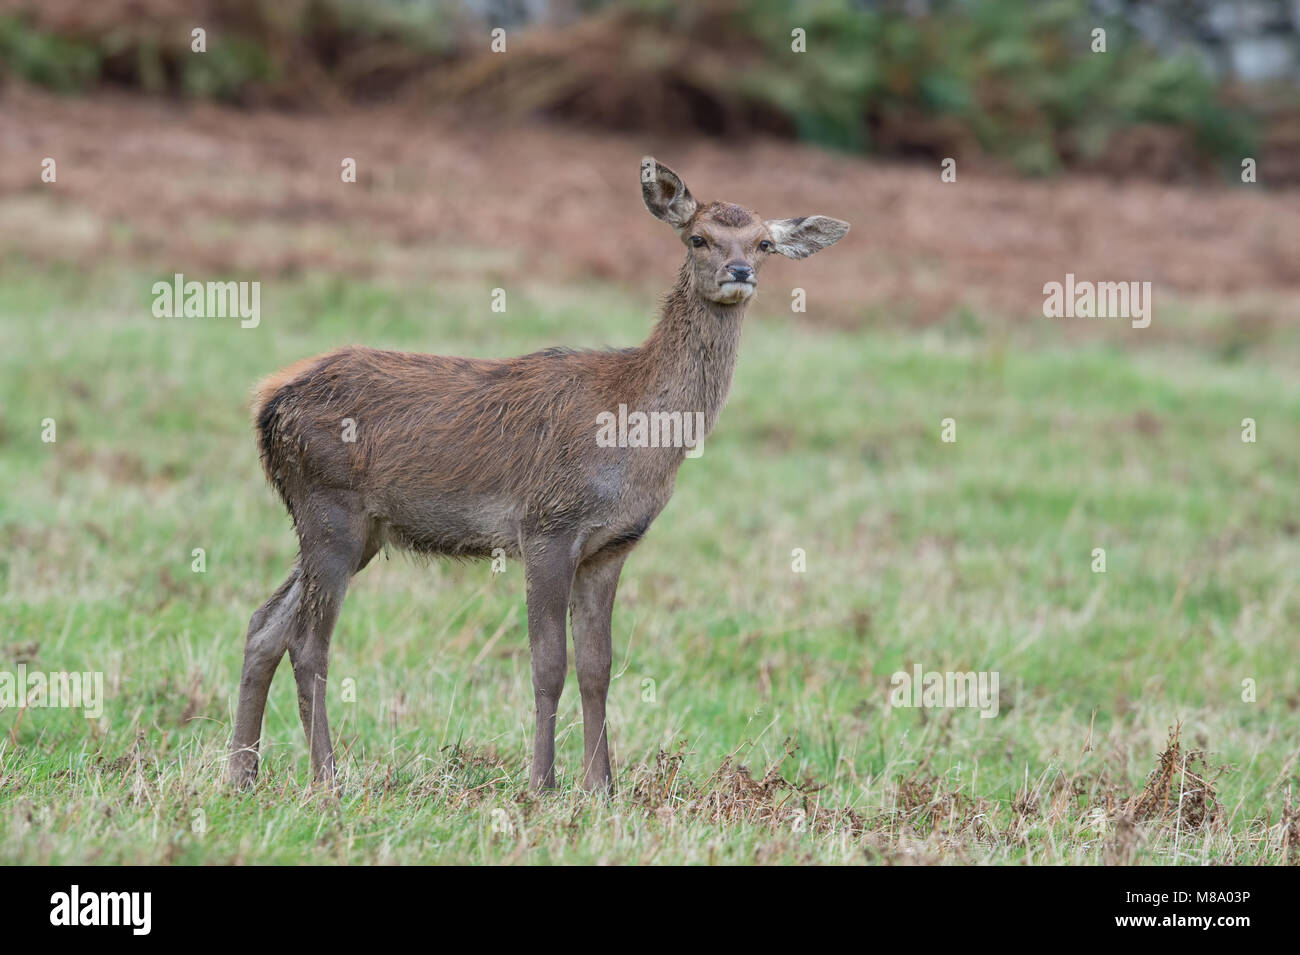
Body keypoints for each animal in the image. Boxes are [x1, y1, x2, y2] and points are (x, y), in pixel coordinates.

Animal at [228, 157, 848, 792]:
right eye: (698, 237)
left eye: (764, 243)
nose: (740, 271)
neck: (634, 428)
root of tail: (266, 403)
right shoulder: (548, 524)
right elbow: (548, 663)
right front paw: (543, 783)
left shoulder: (612, 546)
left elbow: (598, 666)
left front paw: (601, 787)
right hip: (329, 506)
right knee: (308, 643)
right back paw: (327, 778)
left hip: (357, 529)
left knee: (264, 624)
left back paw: (242, 773)